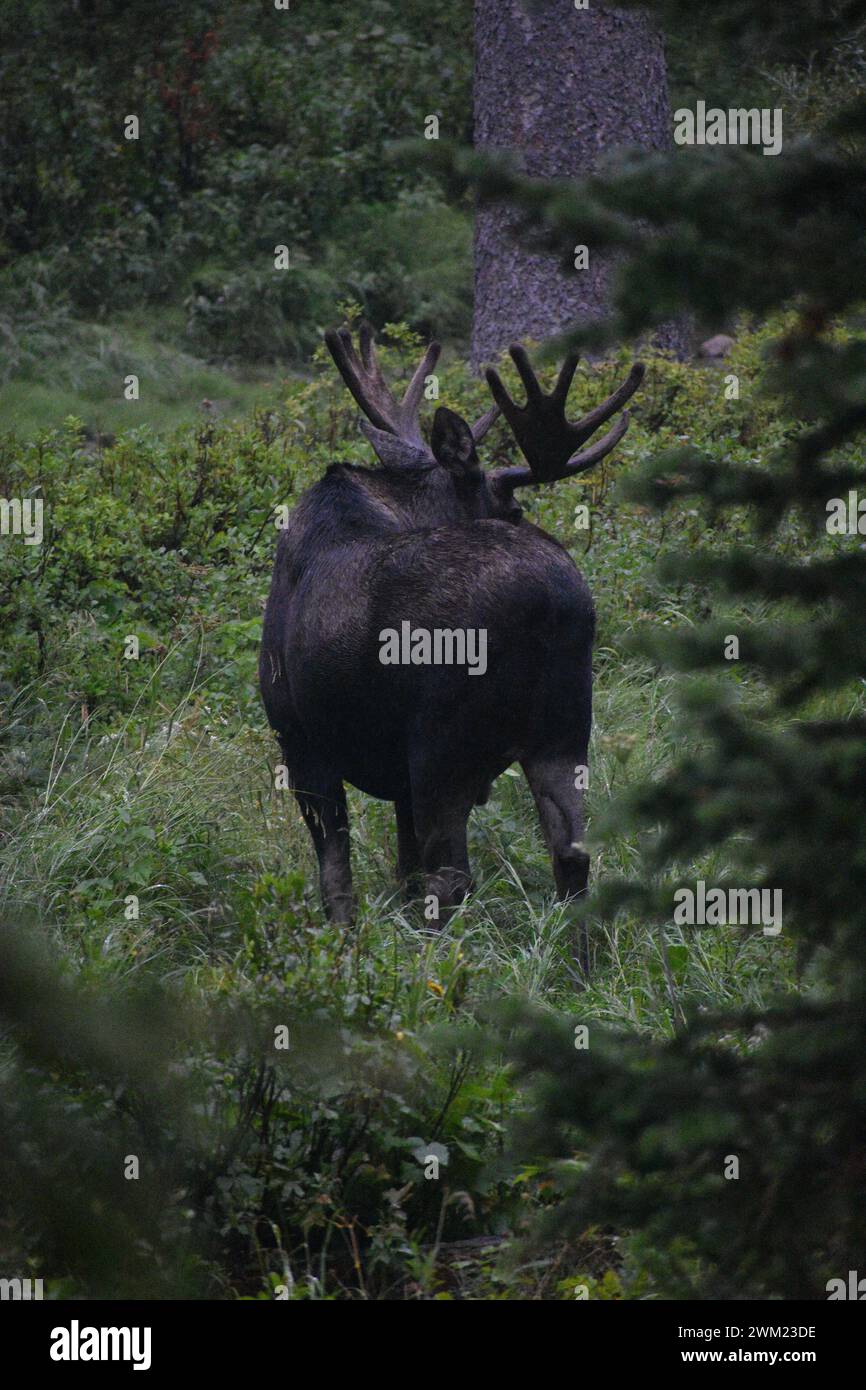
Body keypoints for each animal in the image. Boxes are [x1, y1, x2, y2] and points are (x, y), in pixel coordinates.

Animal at [259, 324, 643, 971]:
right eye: (513, 505)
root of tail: (555, 605)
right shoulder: (392, 774)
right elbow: (401, 867)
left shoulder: (302, 742)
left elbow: (338, 875)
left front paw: (343, 958)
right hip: (565, 730)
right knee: (572, 853)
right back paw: (579, 975)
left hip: (441, 746)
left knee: (452, 878)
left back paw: (430, 978)